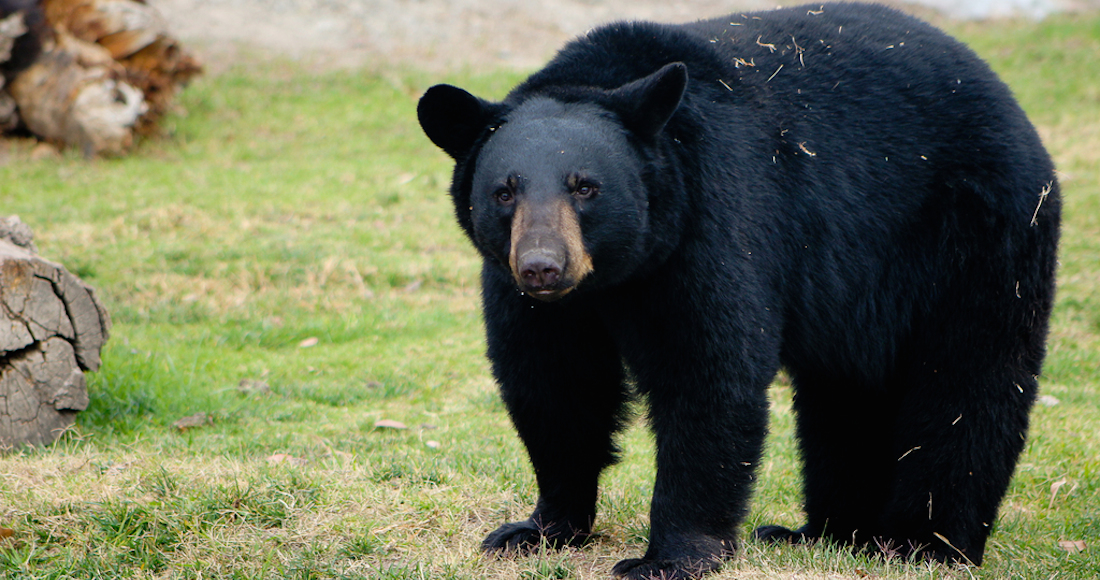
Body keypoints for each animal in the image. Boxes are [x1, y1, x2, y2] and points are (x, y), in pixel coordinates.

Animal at [417, 3, 1060, 578]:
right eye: (504, 191)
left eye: (585, 186)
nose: (543, 267)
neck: (615, 276)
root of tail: (1008, 101)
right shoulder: (531, 300)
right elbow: (554, 385)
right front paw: (538, 528)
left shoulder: (715, 219)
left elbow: (708, 371)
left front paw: (668, 558)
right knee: (846, 392)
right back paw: (826, 533)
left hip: (976, 233)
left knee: (967, 380)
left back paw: (922, 543)